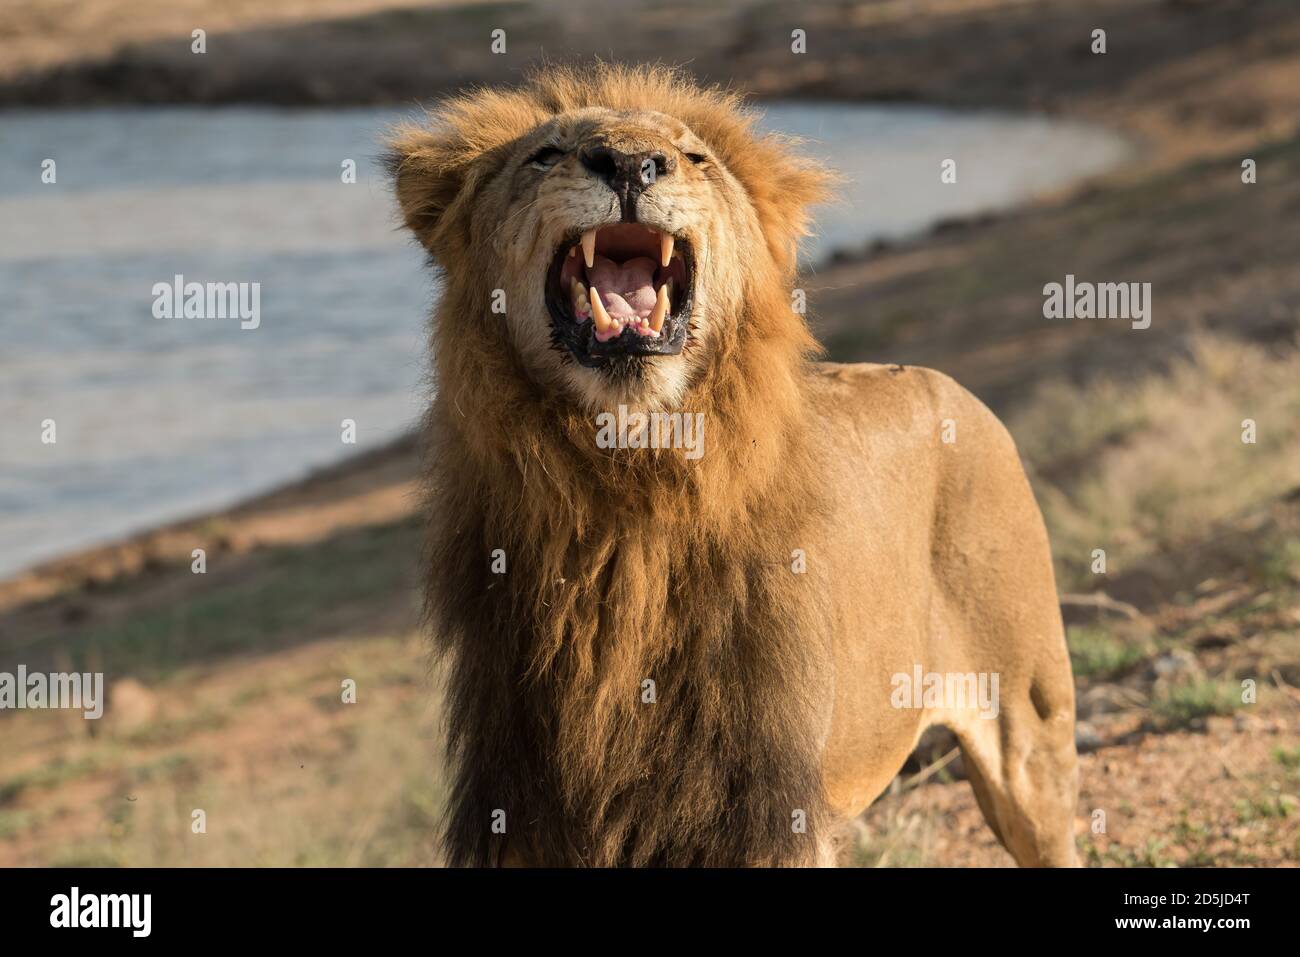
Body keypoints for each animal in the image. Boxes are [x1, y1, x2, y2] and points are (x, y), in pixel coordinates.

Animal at [387, 64, 1079, 867]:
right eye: (545, 154)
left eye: (693, 158)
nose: (630, 164)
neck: (628, 485)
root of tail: (950, 385)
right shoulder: (527, 812)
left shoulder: (765, 810)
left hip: (1028, 732)